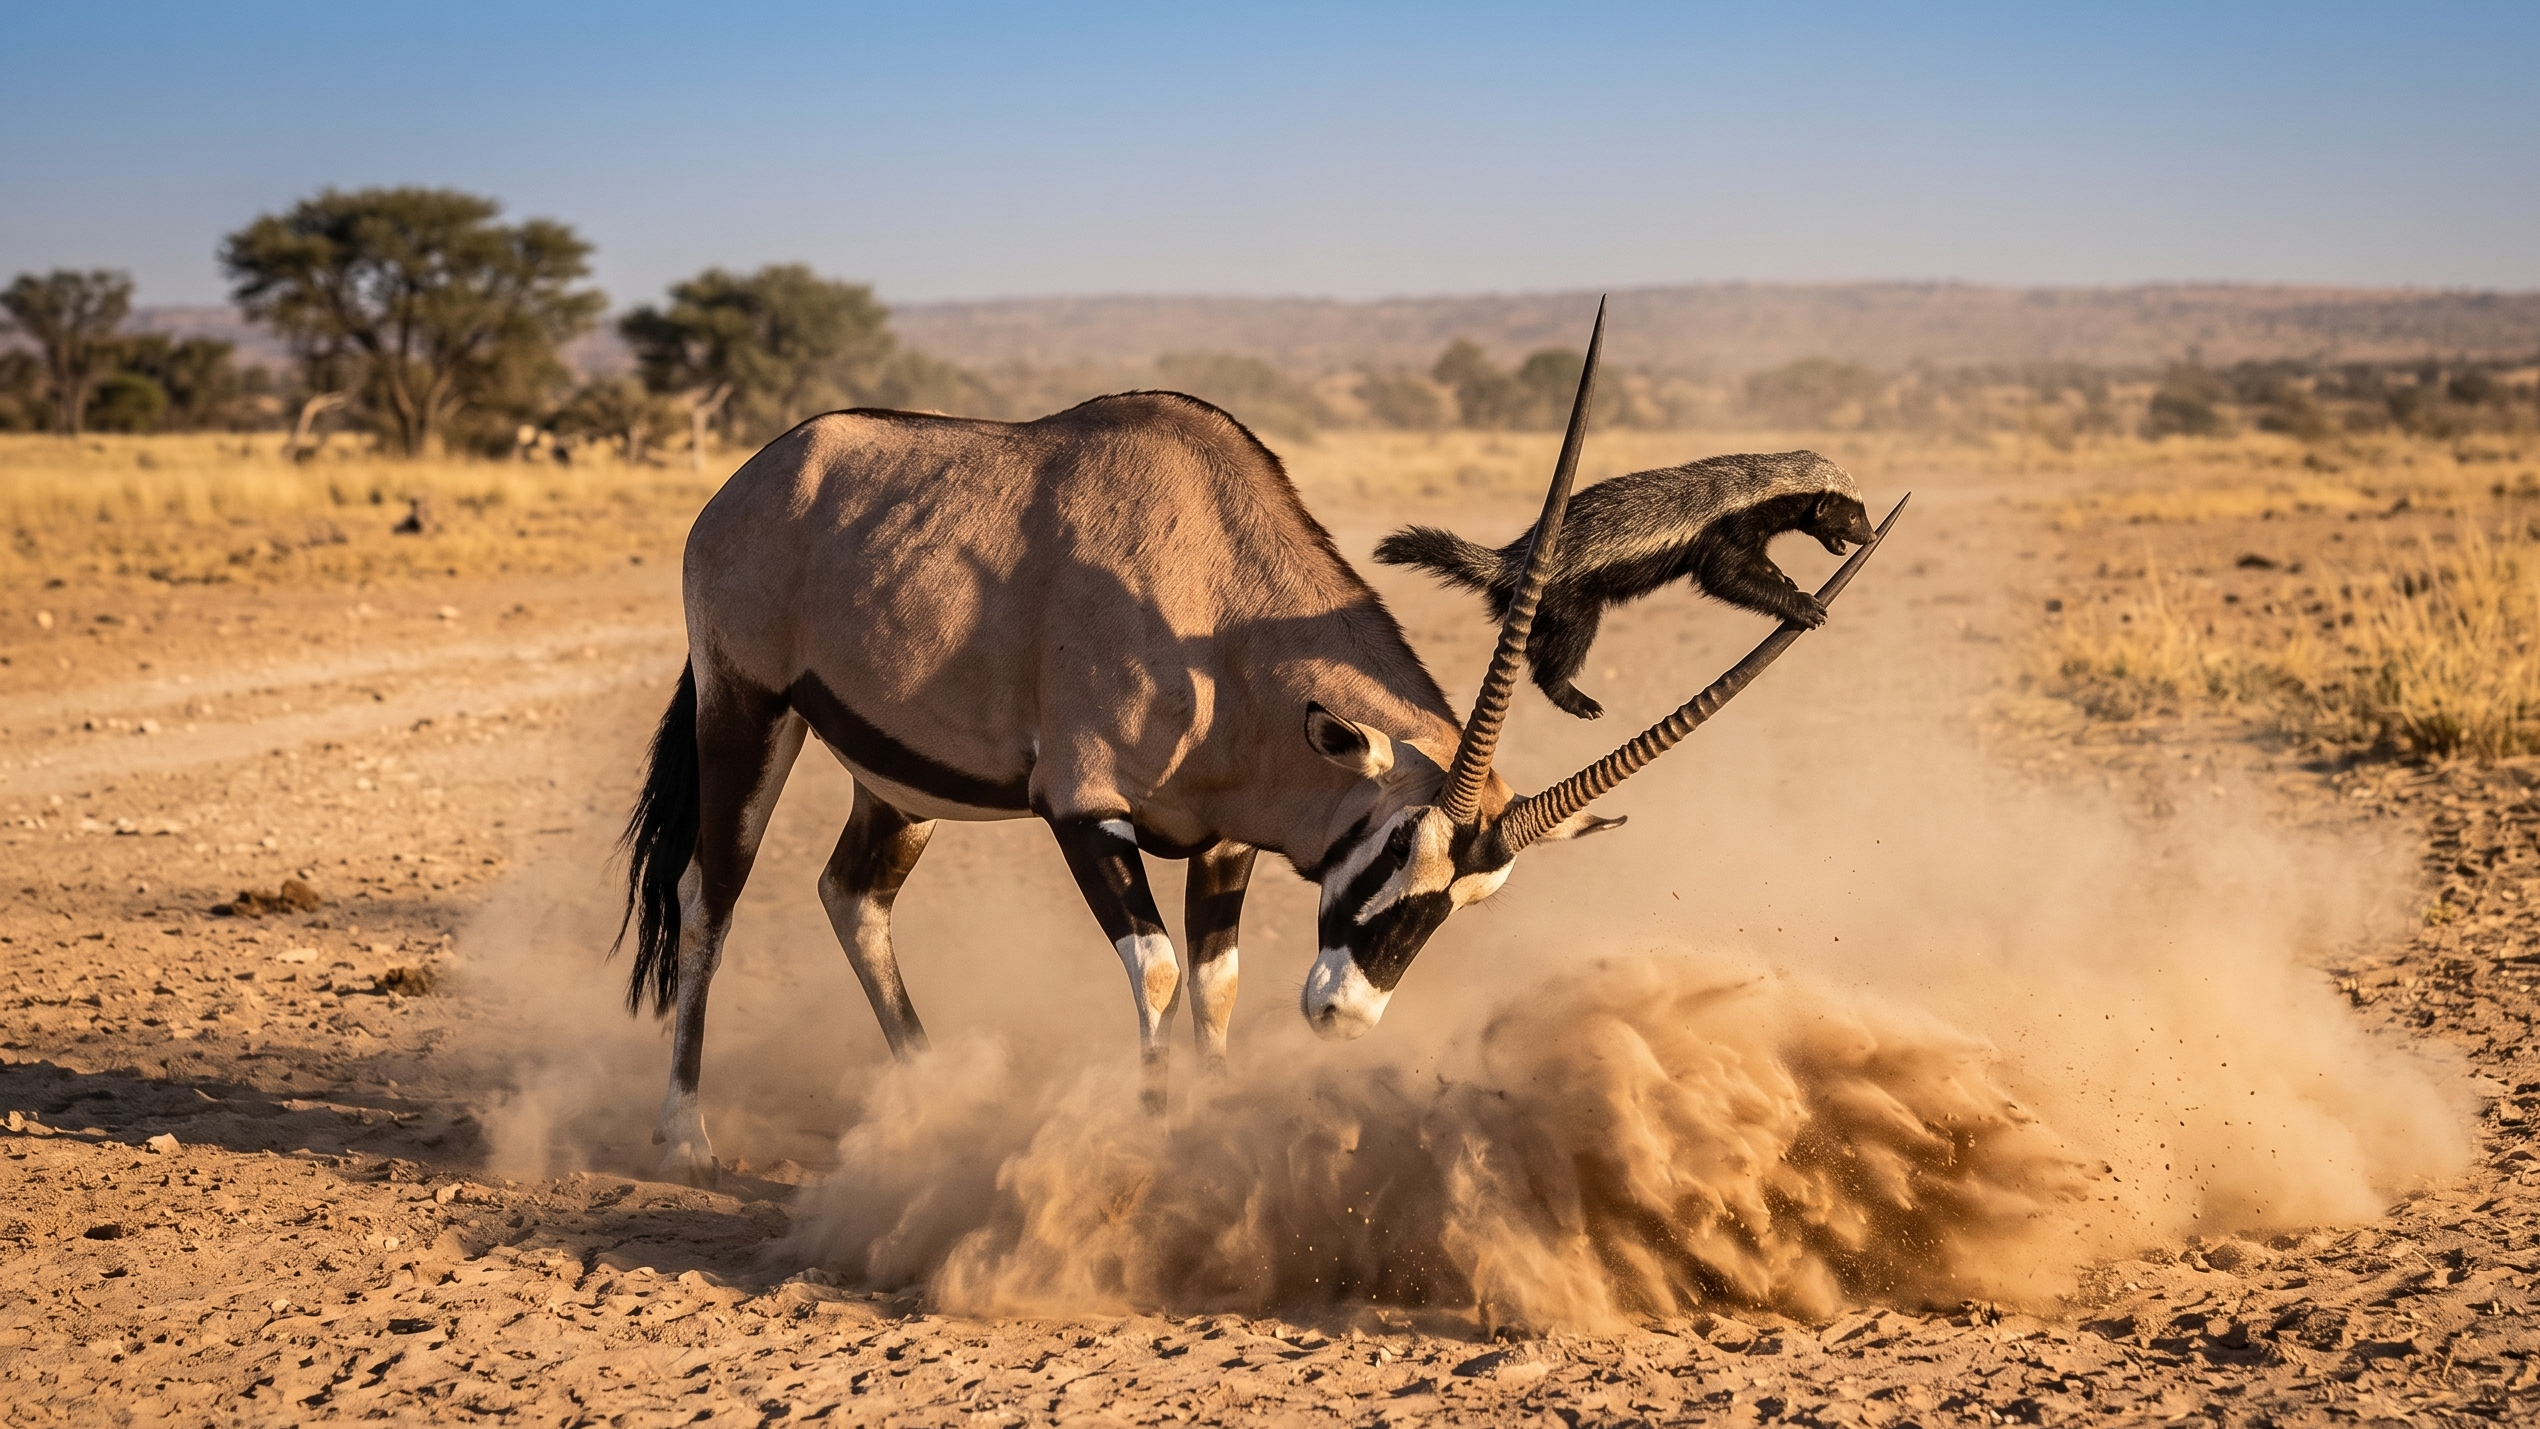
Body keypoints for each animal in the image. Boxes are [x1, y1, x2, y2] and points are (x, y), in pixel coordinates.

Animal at [615, 301, 1906, 1184]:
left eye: (1474, 901)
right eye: (1390, 855)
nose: (1343, 1016)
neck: (1208, 615)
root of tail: (757, 475)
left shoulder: (1225, 842)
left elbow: (1218, 981)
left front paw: (1214, 1124)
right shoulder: (1084, 808)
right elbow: (1156, 966)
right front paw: (1151, 1135)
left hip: (900, 777)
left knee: (851, 894)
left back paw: (928, 1094)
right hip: (748, 713)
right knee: (708, 895)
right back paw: (683, 1131)